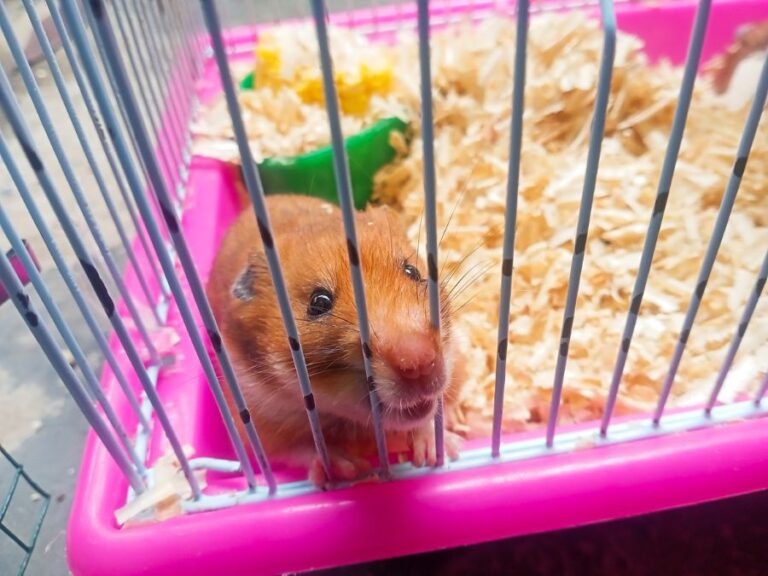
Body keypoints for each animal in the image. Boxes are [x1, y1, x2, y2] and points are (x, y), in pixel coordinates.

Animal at [206, 194, 464, 486]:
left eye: (412, 271)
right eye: (318, 303)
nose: (420, 363)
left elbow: (430, 415)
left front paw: (438, 453)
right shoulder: (263, 420)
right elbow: (306, 449)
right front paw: (353, 468)